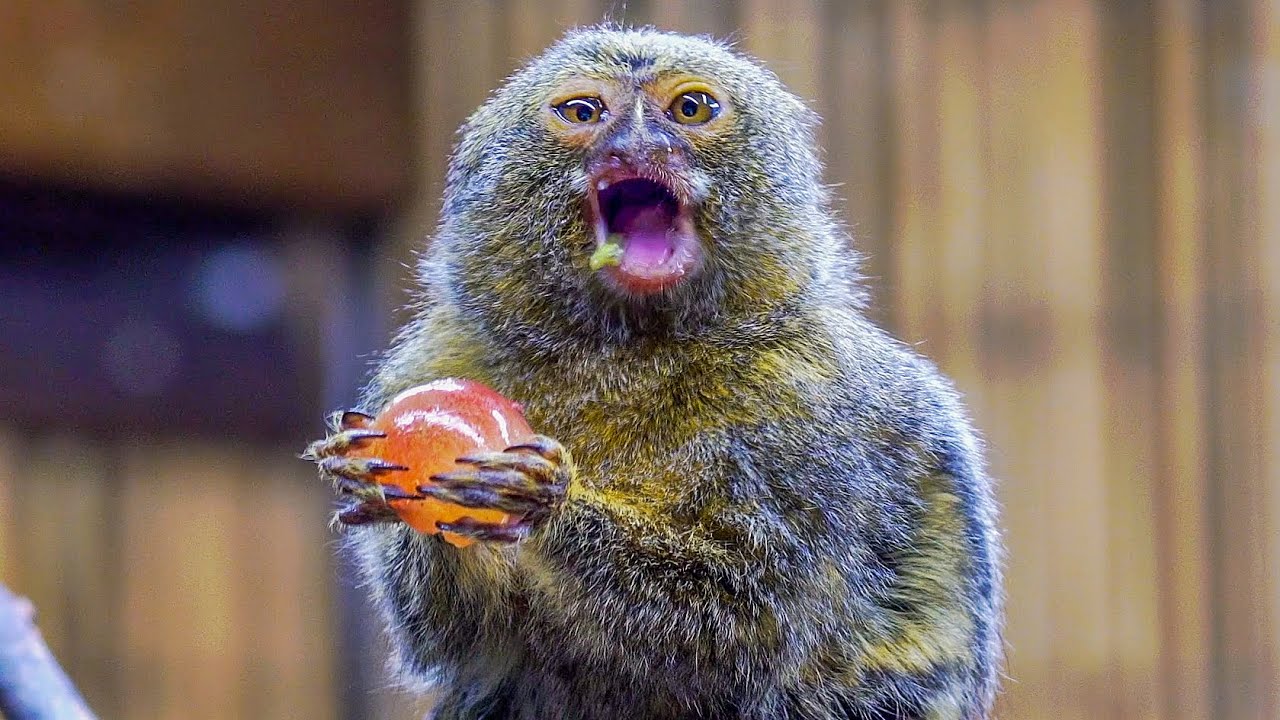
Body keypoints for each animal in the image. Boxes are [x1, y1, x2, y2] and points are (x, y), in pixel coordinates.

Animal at [304, 26, 1002, 720]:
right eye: (584, 113)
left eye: (691, 109)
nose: (636, 145)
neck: (627, 354)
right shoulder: (435, 363)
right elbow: (452, 636)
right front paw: (375, 479)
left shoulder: (816, 407)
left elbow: (751, 623)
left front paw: (542, 503)